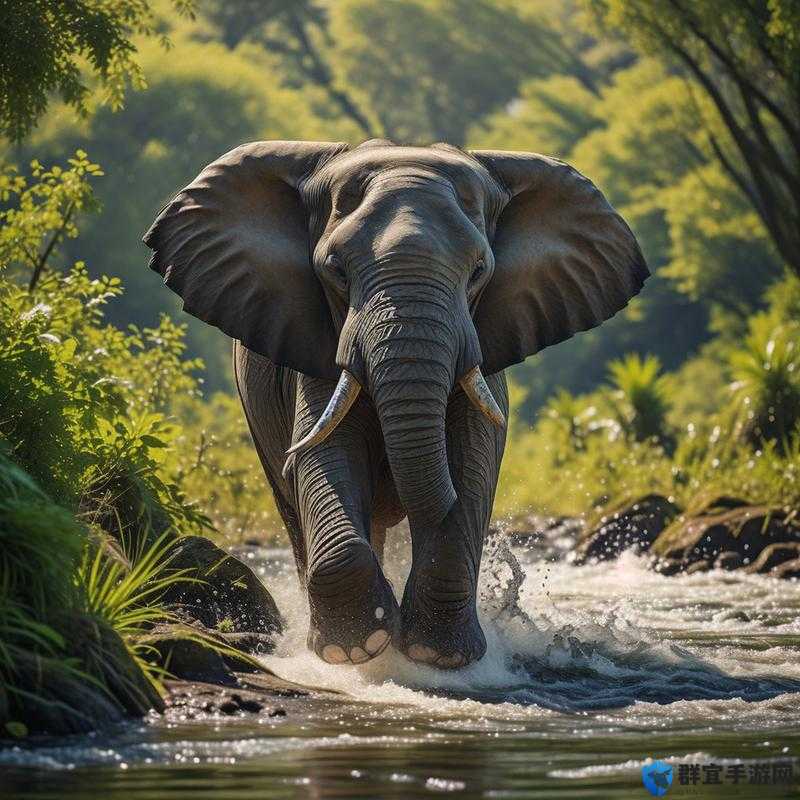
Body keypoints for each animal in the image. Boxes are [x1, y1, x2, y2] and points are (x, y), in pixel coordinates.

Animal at [143, 139, 648, 669]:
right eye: (336, 272)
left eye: (479, 272)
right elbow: (325, 456)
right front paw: (357, 647)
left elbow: (474, 459)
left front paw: (435, 654)